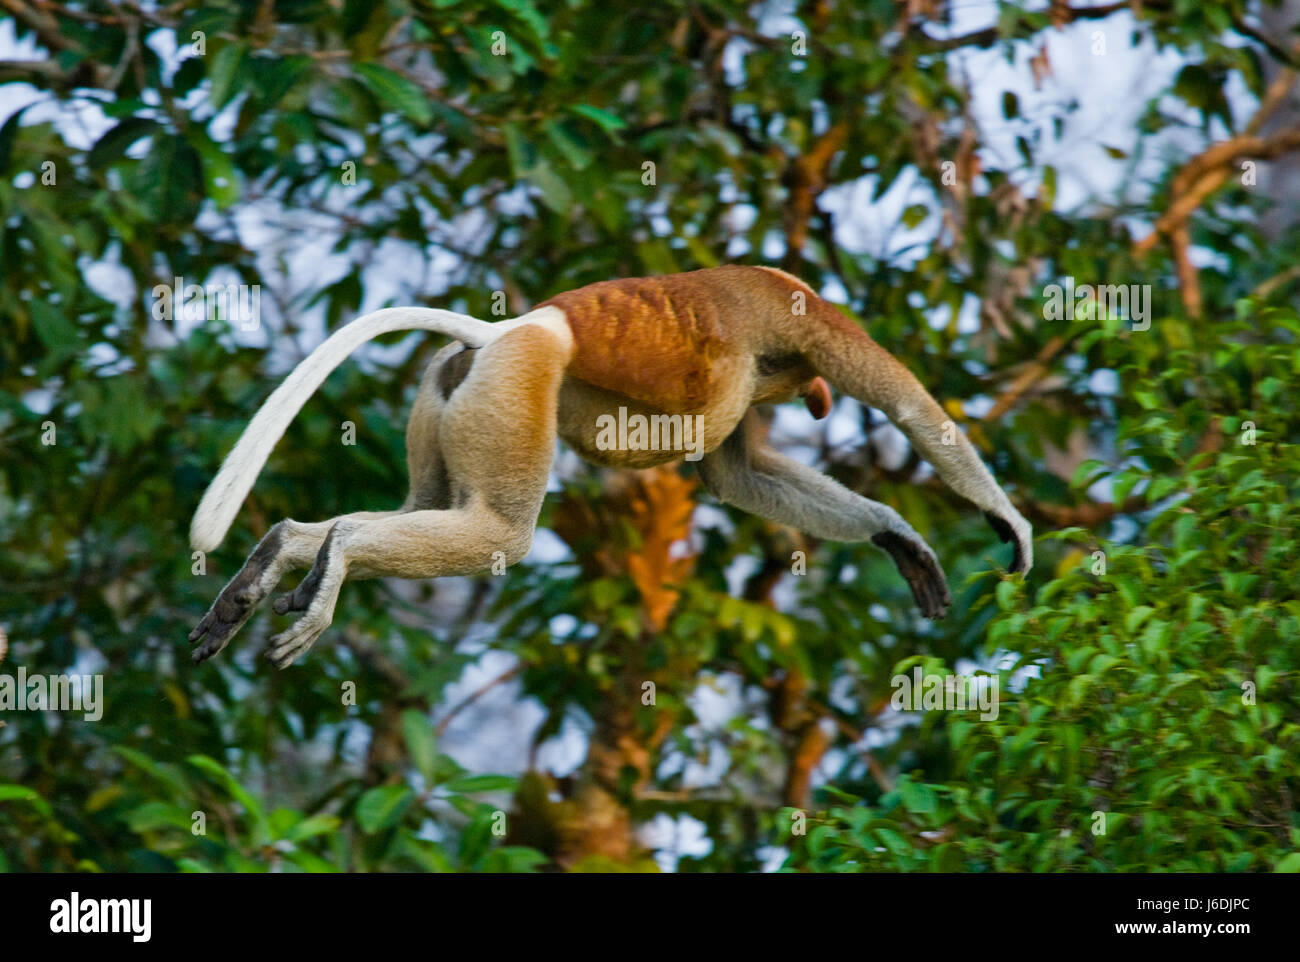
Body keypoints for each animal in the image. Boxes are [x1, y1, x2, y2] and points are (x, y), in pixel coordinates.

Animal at [188, 265, 1032, 668]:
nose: (820, 400)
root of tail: (501, 332)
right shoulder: (797, 313)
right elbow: (909, 405)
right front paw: (1010, 527)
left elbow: (736, 476)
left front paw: (898, 538)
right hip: (518, 388)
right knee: (500, 532)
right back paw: (332, 563)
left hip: (446, 403)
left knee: (421, 504)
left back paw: (276, 562)